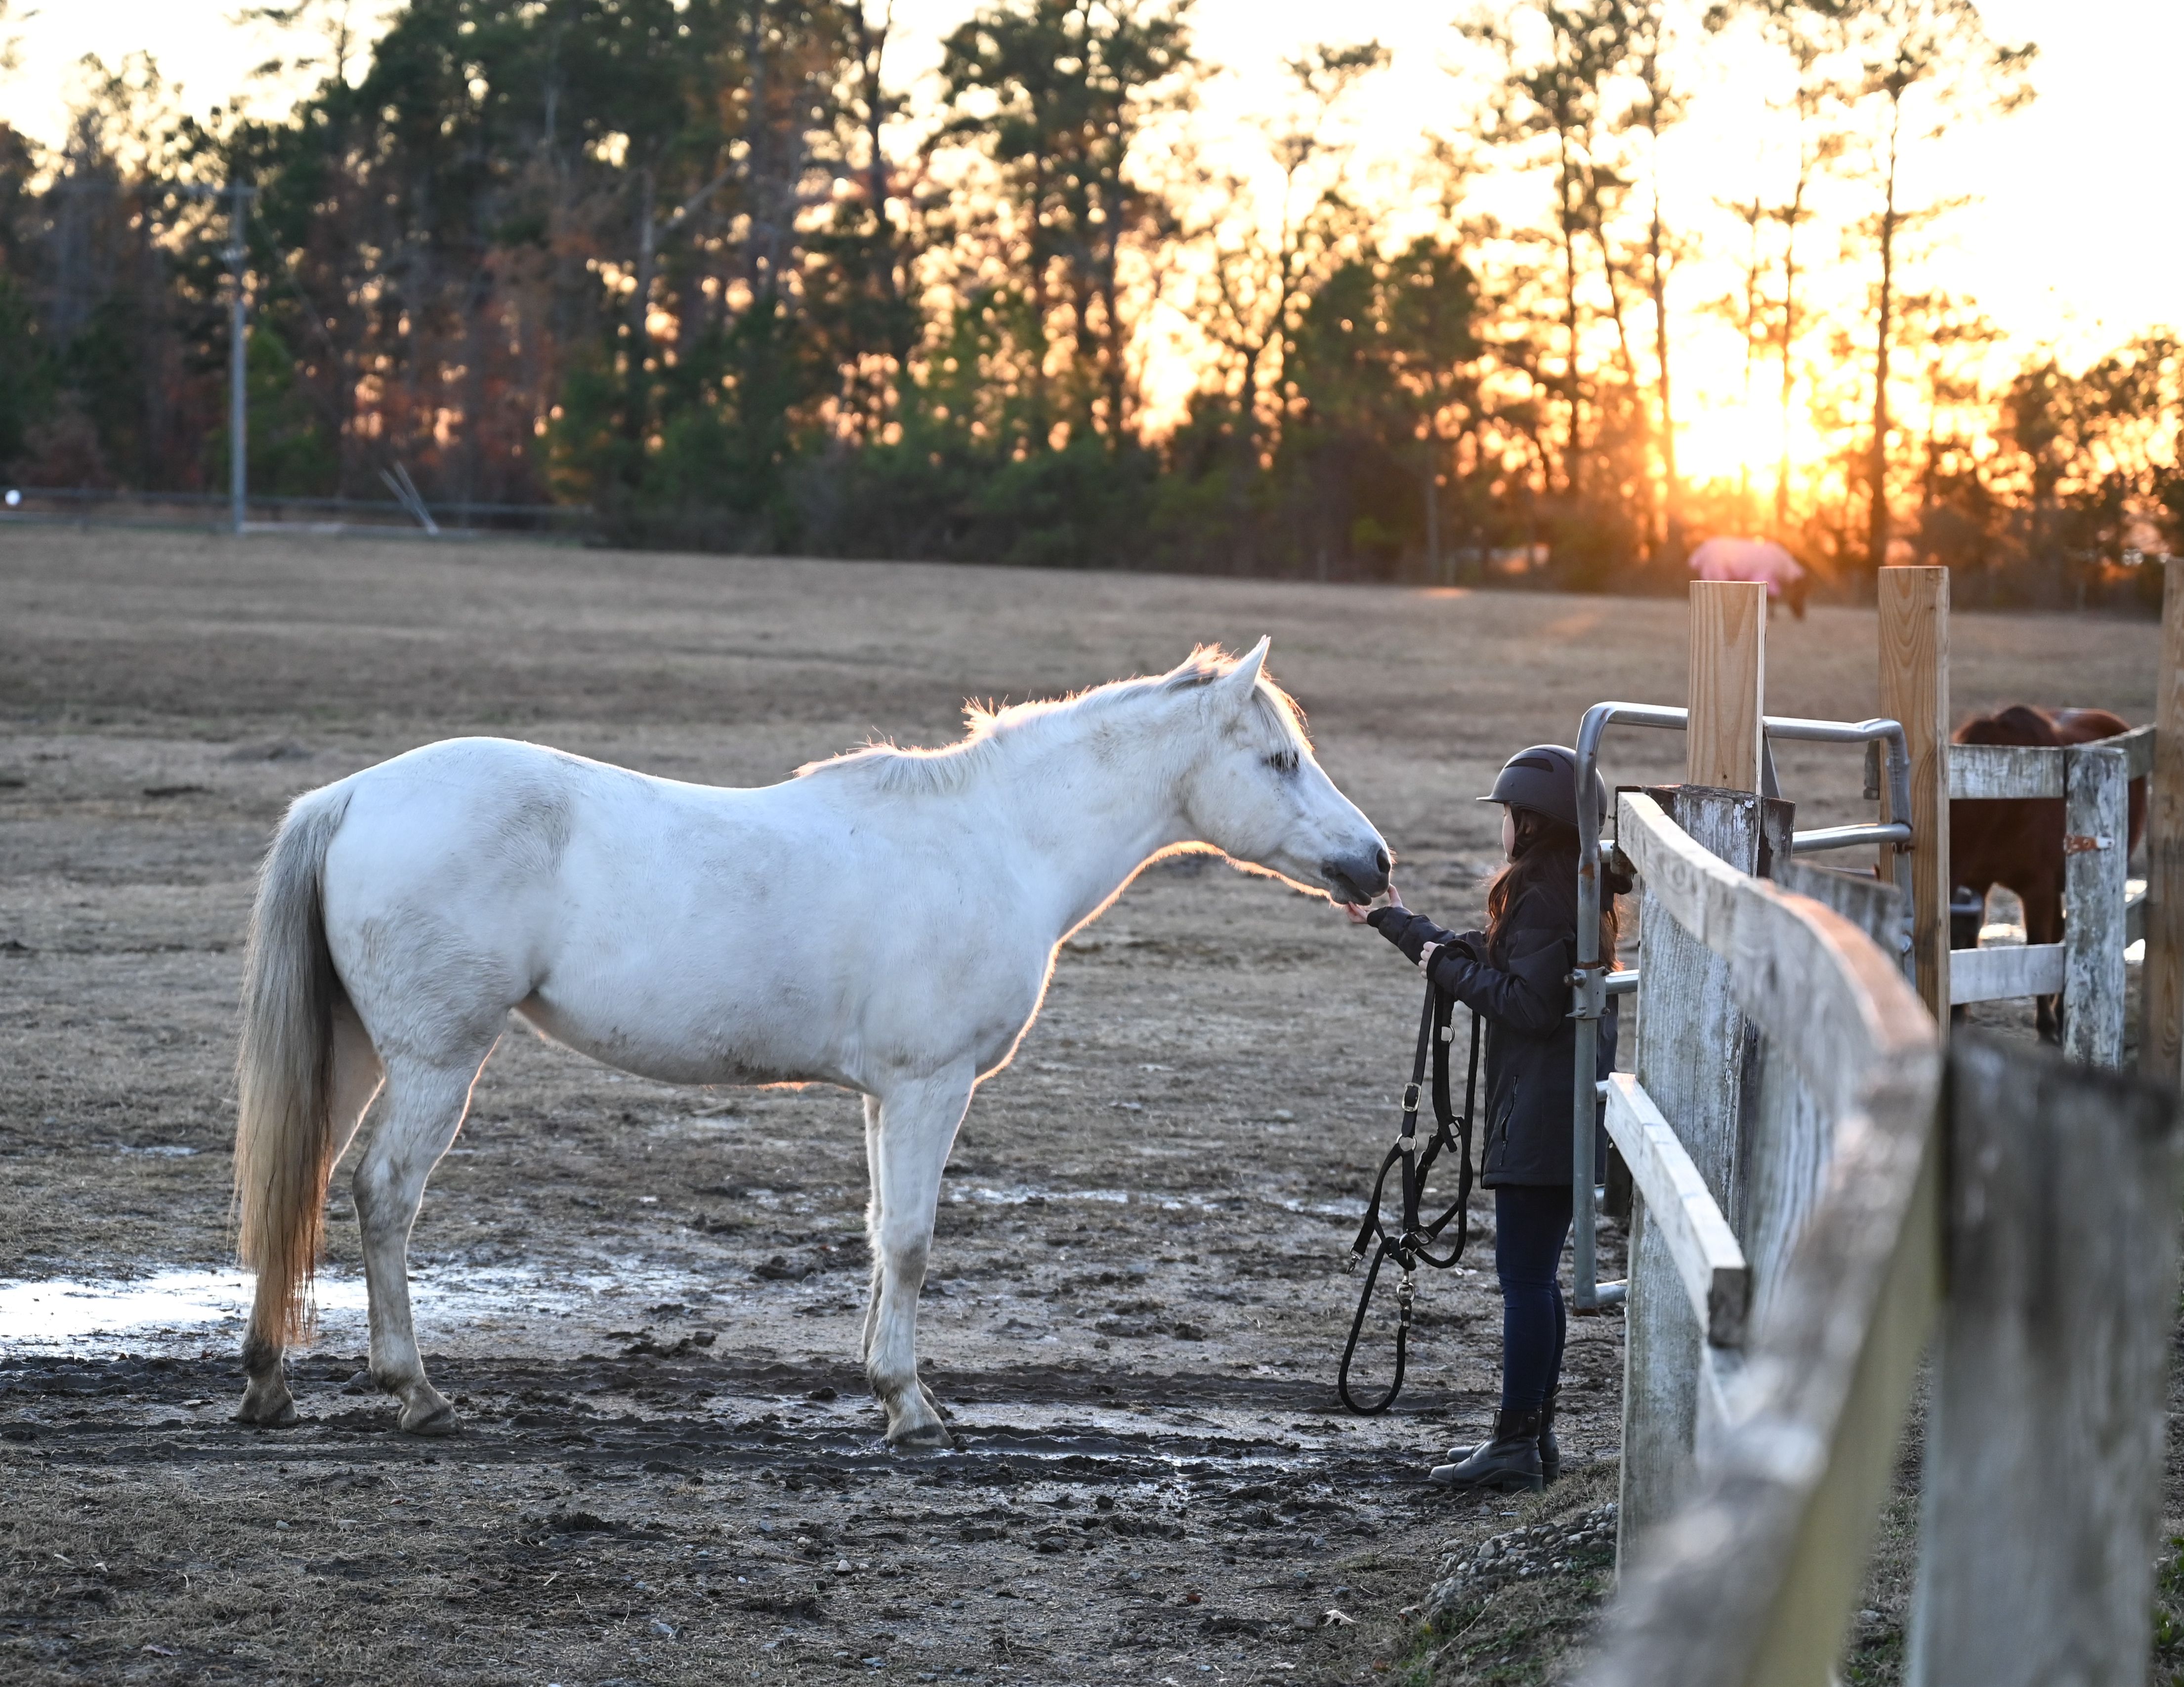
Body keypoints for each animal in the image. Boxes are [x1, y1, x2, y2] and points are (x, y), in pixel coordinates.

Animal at [230, 640, 1390, 1447]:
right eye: (1279, 758)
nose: (1373, 863)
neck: (996, 842)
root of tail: (352, 796)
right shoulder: (930, 1087)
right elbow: (913, 1239)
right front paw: (909, 1407)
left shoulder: (885, 1096)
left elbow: (879, 1233)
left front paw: (886, 1385)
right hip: (436, 1063)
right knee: (383, 1193)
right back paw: (415, 1392)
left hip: (356, 1054)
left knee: (300, 1185)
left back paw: (267, 1380)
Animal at [1950, 704, 2144, 1041]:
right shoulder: (1978, 880)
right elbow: (1975, 938)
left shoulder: (2037, 888)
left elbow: (2037, 944)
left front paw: (2046, 1023)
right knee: (2062, 931)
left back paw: (2061, 1013)